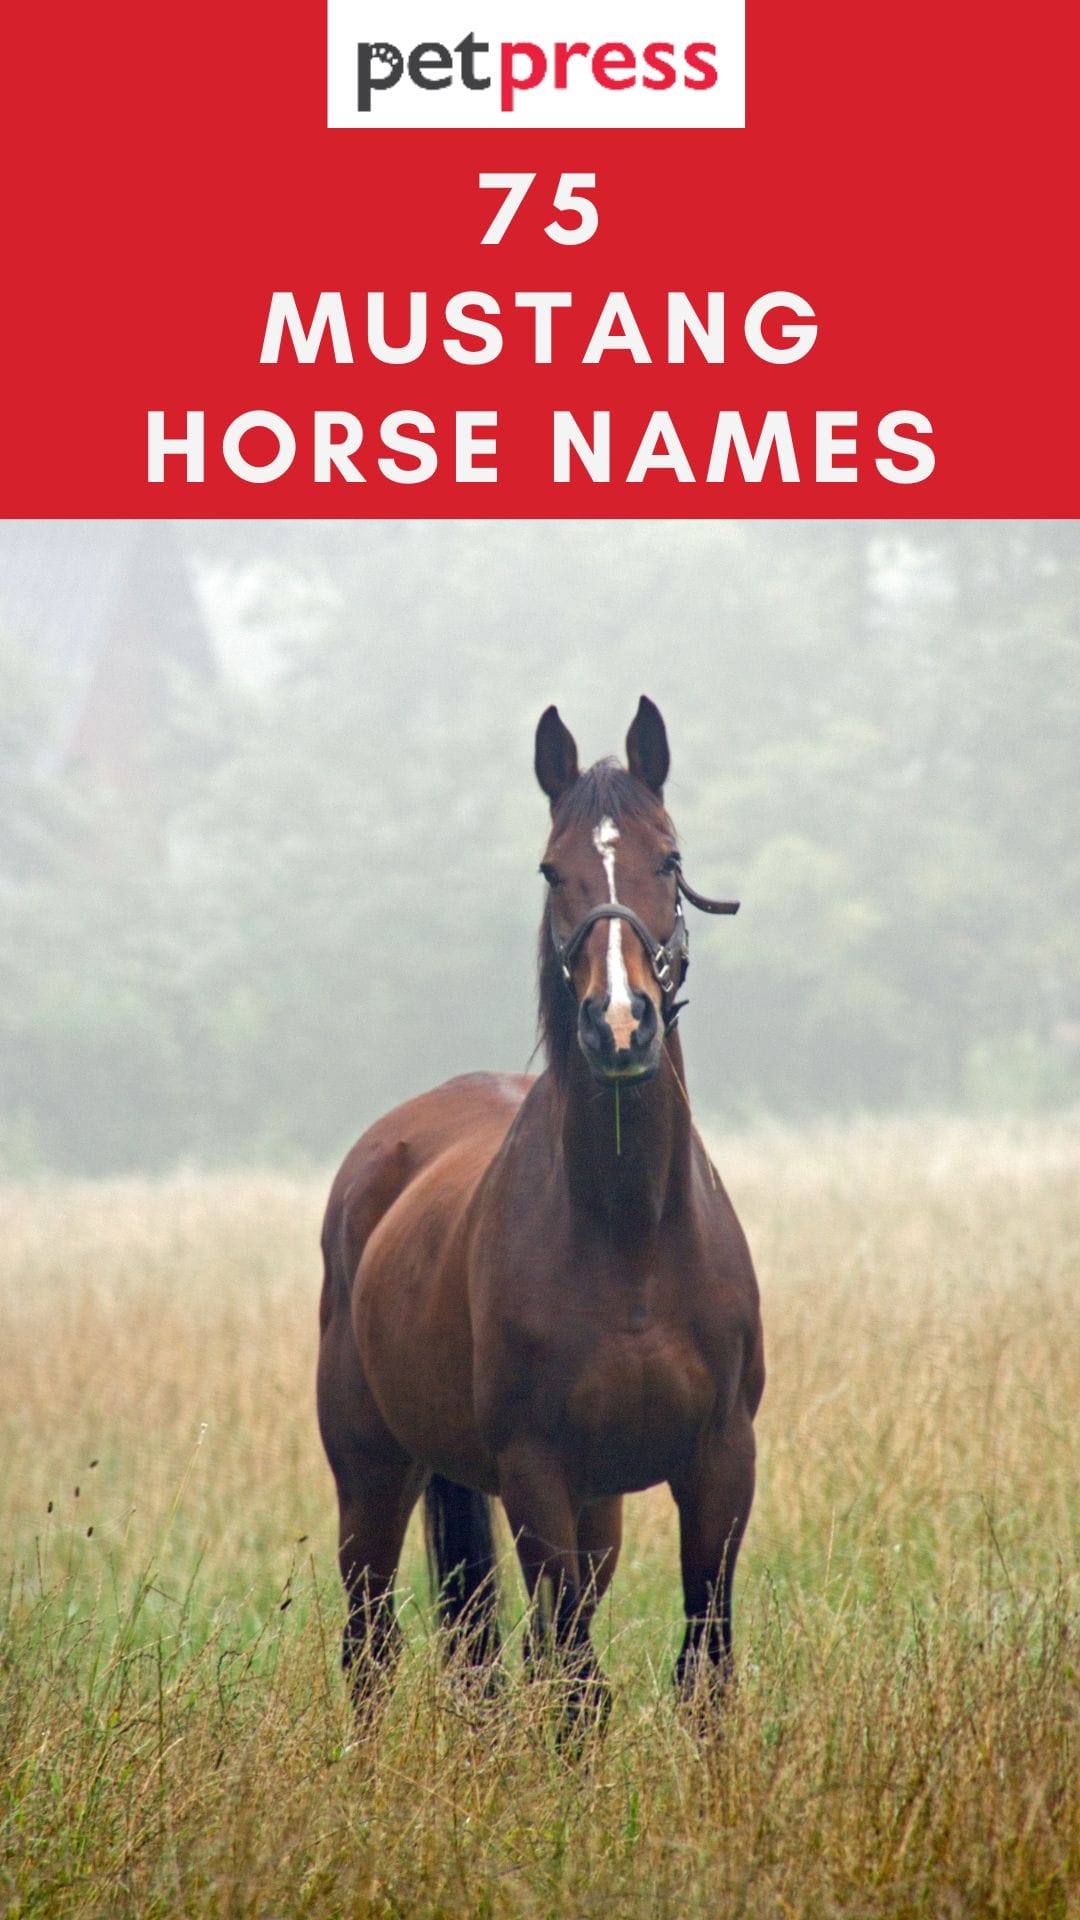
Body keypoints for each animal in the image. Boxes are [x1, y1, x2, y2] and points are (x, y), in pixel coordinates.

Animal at [317, 697, 764, 1719]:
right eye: (552, 869)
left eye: (669, 859)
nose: (621, 1024)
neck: (631, 1238)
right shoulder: (535, 1472)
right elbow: (572, 1682)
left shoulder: (720, 1463)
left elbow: (703, 1667)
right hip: (370, 1476)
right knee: (372, 1648)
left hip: (590, 1509)